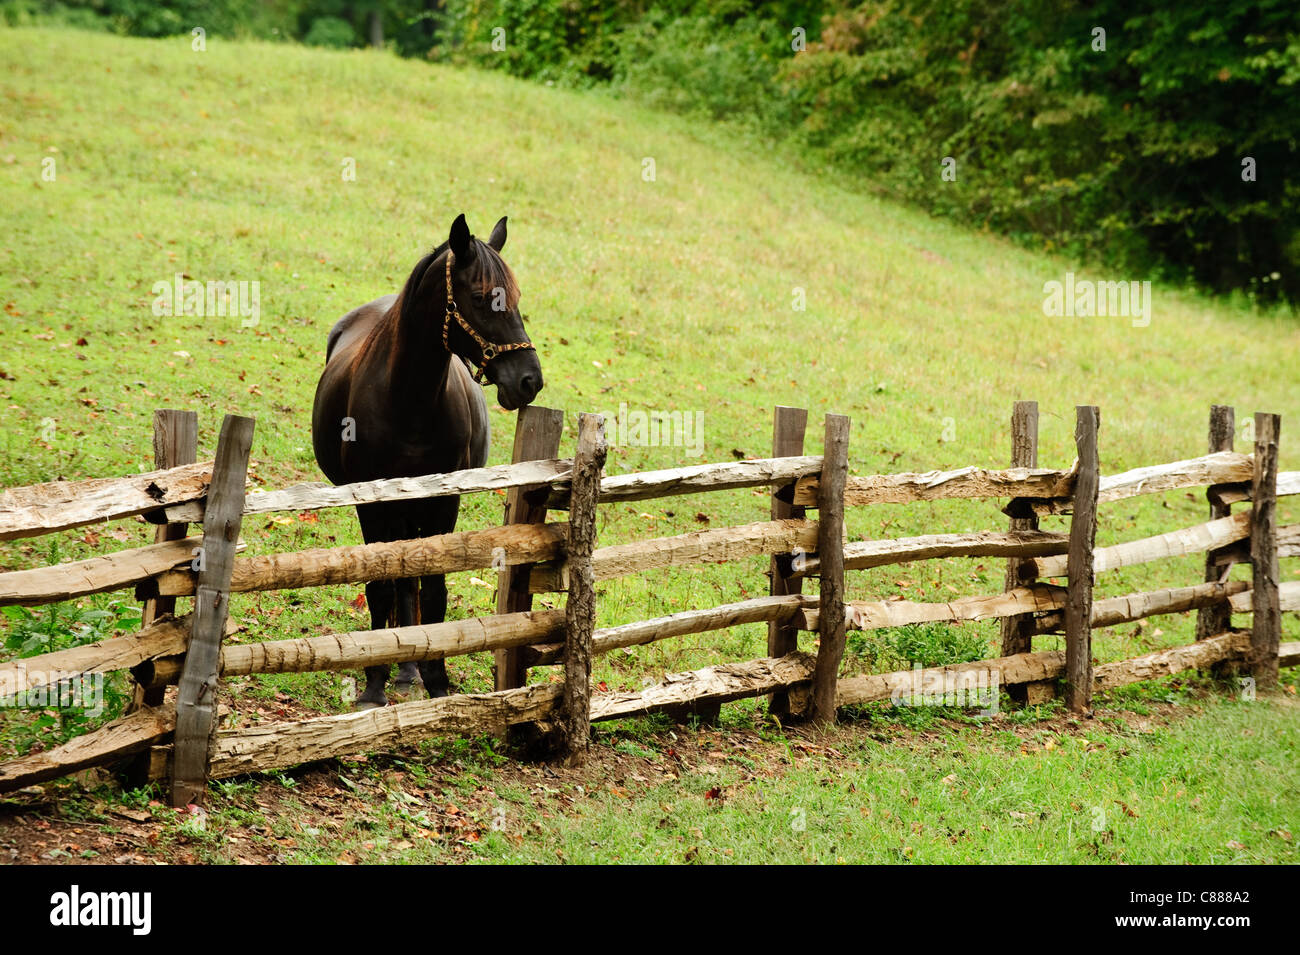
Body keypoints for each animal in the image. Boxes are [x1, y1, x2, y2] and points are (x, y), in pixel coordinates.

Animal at [311, 213, 543, 708]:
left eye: (515, 299)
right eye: (482, 298)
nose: (529, 380)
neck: (409, 399)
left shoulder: (443, 501)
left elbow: (434, 588)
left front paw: (437, 681)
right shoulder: (373, 504)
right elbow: (381, 586)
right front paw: (373, 685)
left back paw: (411, 667)